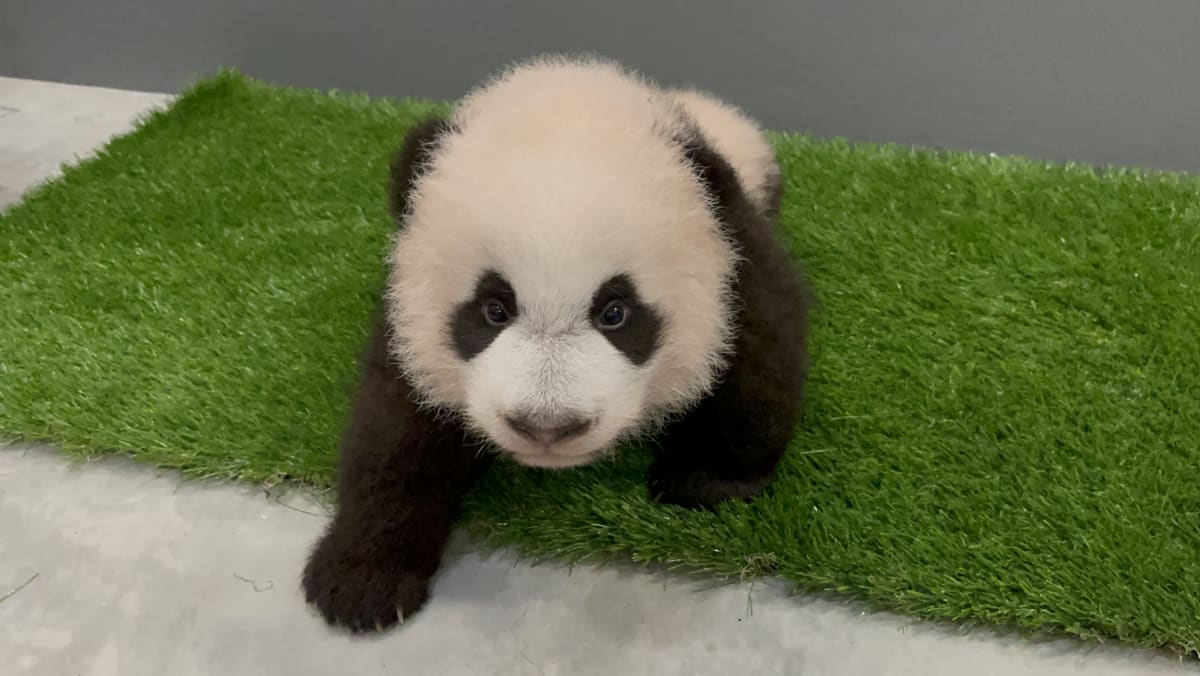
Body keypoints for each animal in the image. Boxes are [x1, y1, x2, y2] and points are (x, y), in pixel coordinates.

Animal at [302, 55, 811, 632]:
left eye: (615, 313)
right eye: (493, 309)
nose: (547, 427)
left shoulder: (730, 247)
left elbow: (758, 353)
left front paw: (708, 480)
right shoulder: (410, 317)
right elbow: (394, 428)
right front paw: (362, 581)